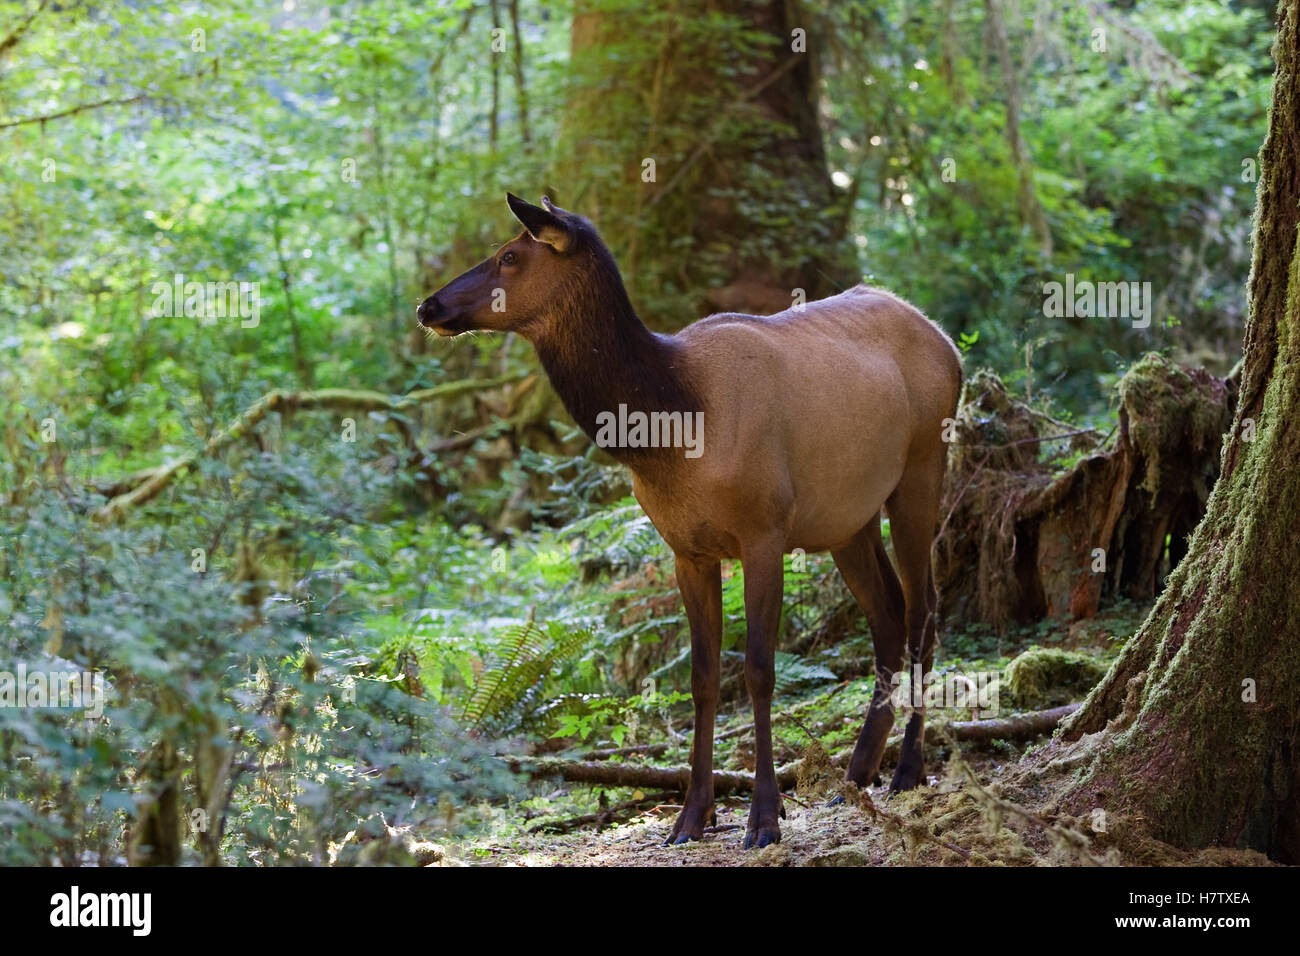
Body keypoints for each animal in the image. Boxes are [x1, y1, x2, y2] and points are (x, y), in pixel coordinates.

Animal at [418, 194, 963, 849]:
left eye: (509, 256)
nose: (428, 306)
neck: (673, 427)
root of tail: (948, 342)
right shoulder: (686, 549)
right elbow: (703, 678)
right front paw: (691, 816)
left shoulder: (764, 530)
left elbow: (757, 669)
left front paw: (764, 816)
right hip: (847, 518)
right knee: (887, 614)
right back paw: (856, 774)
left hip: (922, 470)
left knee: (924, 610)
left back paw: (908, 769)